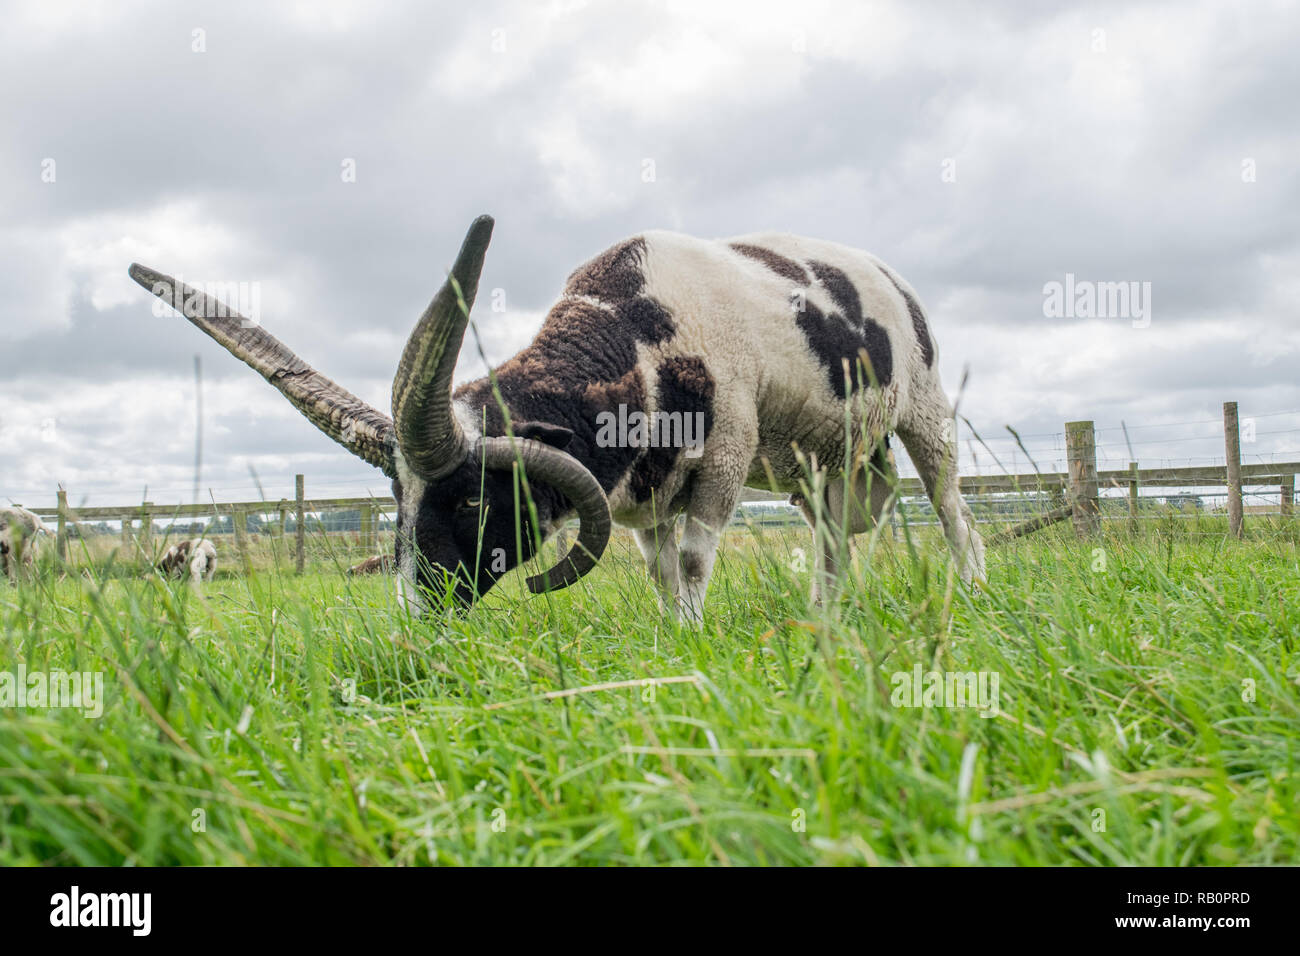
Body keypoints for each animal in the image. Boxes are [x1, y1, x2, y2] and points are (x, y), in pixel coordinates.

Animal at [130, 215, 984, 621]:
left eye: (474, 501)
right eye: (399, 505)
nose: (414, 618)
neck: (634, 333)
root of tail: (888, 274)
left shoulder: (726, 456)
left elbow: (694, 560)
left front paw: (693, 633)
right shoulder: (643, 497)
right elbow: (660, 569)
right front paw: (673, 634)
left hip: (925, 409)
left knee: (950, 508)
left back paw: (972, 590)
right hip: (819, 460)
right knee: (834, 536)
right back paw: (824, 612)